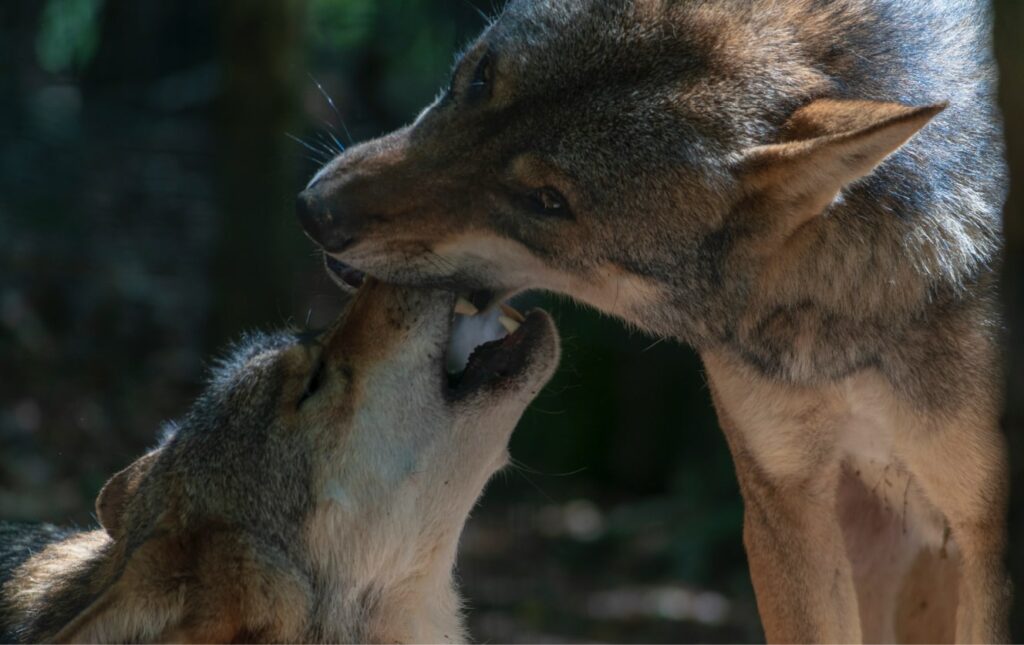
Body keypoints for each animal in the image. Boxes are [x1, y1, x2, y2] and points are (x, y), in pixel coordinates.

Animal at [295, 0, 1010, 641]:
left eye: (547, 201)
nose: (315, 213)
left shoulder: (989, 536)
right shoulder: (786, 503)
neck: (860, 316)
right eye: (480, 79)